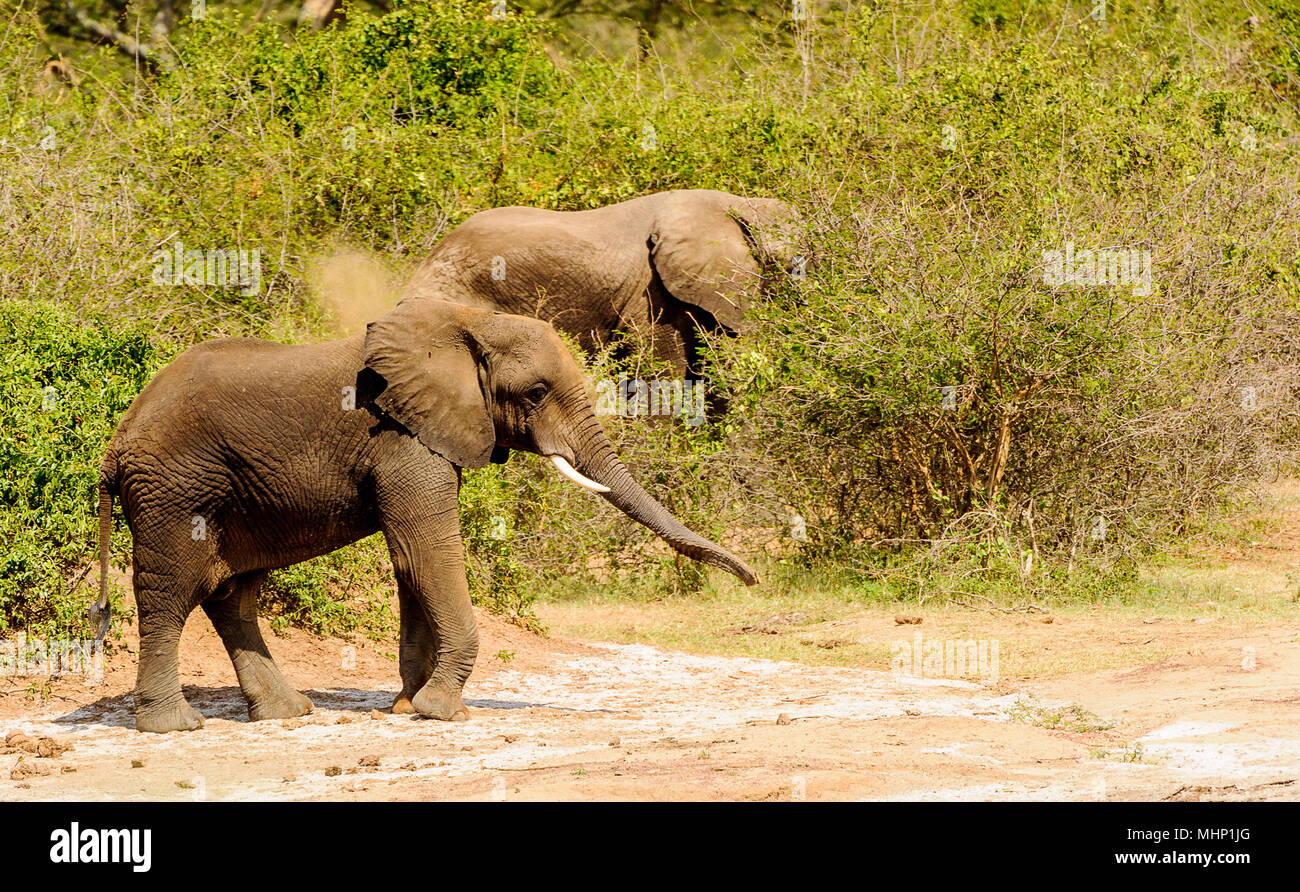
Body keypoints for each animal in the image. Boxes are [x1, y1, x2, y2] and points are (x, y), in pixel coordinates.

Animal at [95, 298, 758, 733]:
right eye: (537, 393)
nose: (752, 578)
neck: (468, 325)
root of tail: (115, 442)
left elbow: (411, 562)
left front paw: (408, 707)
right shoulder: (400, 440)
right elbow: (428, 552)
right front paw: (442, 712)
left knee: (232, 592)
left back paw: (288, 713)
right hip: (172, 492)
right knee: (171, 593)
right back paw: (174, 726)